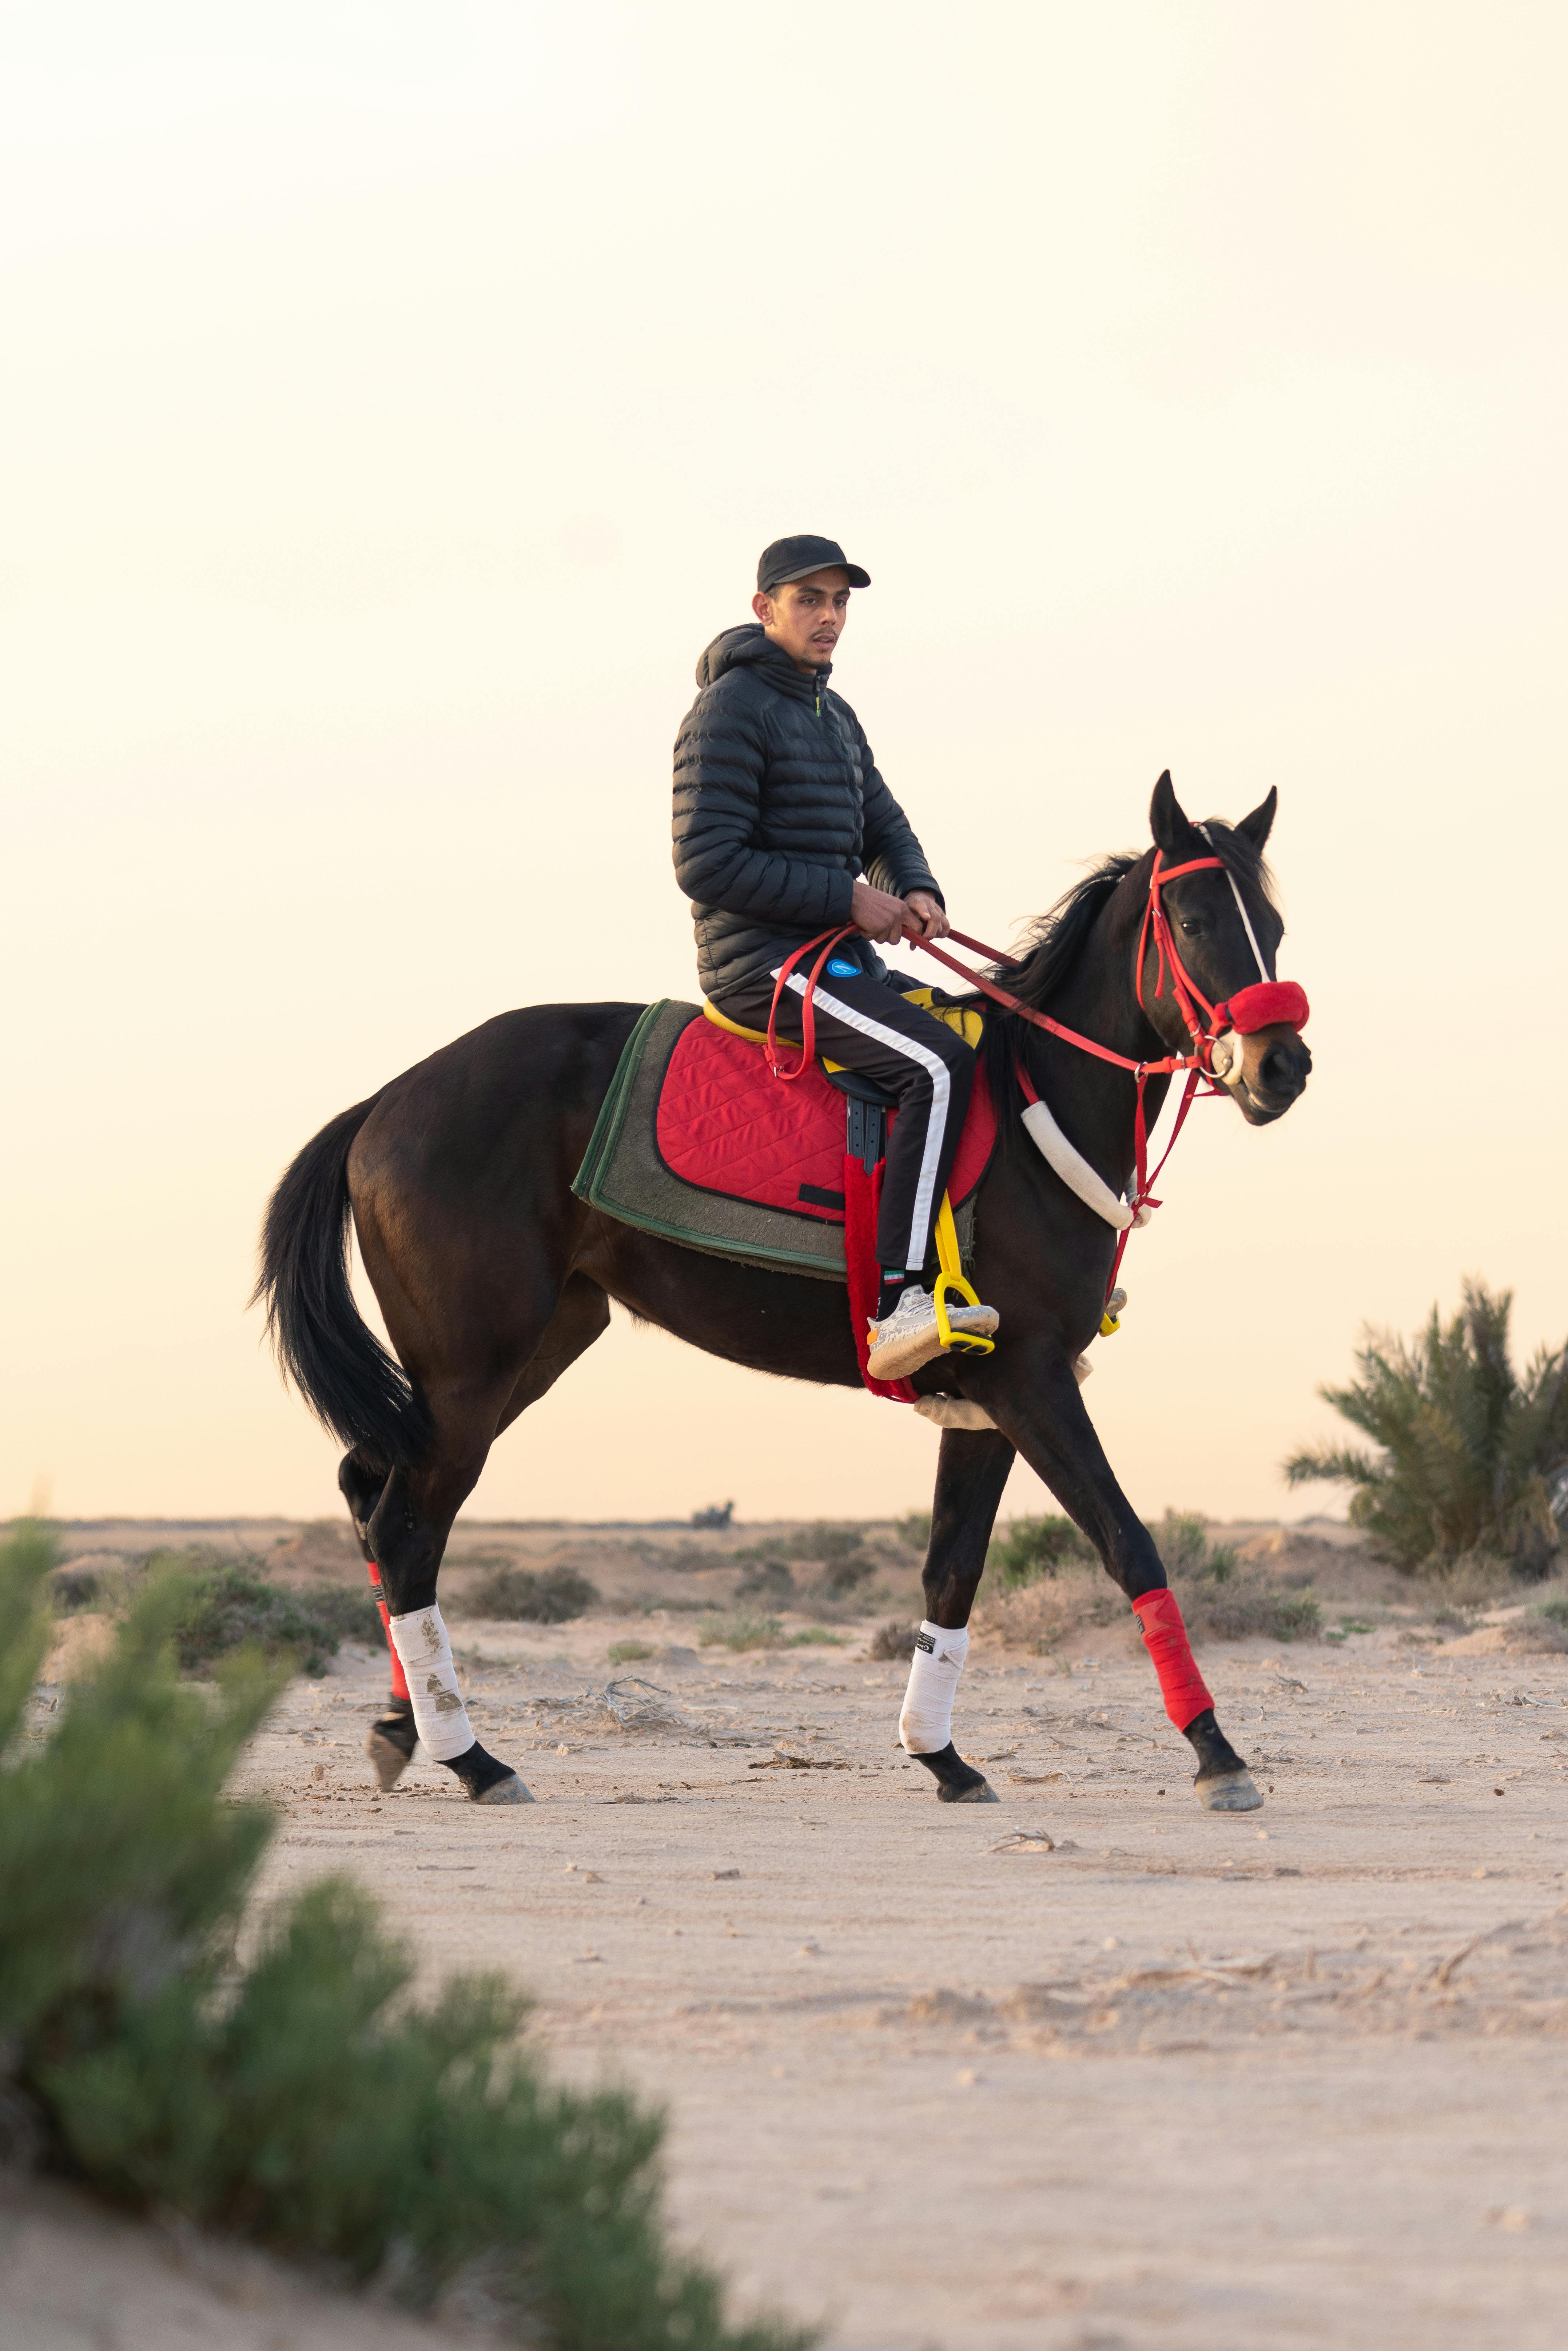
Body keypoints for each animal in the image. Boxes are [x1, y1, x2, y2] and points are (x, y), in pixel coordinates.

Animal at [255, 772, 1311, 1809]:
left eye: (1270, 920)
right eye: (1190, 919)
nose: (1282, 1065)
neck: (1028, 1110)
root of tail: (385, 1102)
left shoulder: (982, 1398)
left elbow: (950, 1571)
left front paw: (939, 1754)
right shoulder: (1030, 1376)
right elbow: (1127, 1541)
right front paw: (1215, 1750)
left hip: (527, 1351)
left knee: (375, 1491)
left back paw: (406, 1725)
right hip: (473, 1367)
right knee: (406, 1526)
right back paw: (471, 1756)